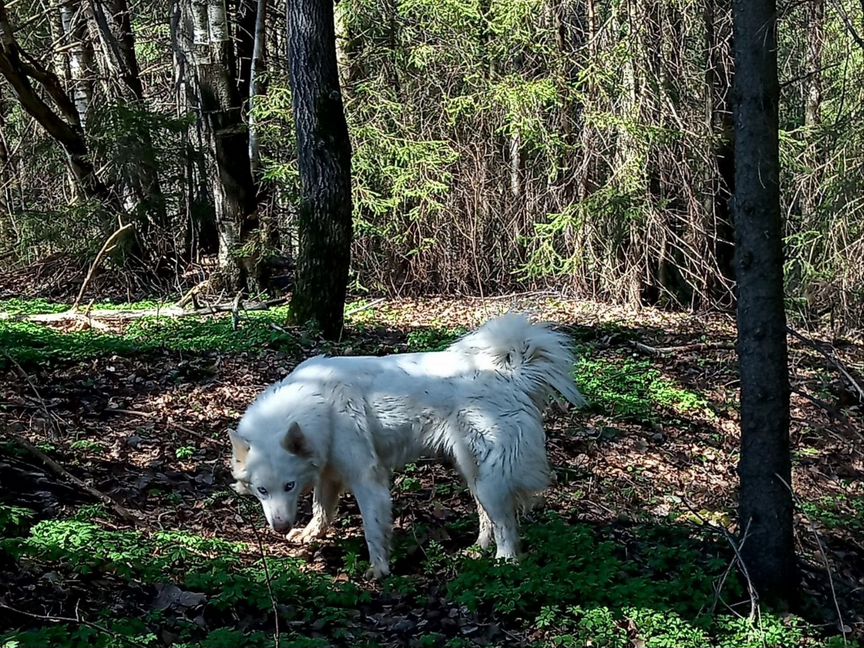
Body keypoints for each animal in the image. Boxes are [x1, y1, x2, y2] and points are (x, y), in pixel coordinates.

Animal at [226, 314, 584, 576]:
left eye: (289, 486)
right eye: (261, 491)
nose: (279, 527)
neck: (319, 401)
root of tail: (509, 374)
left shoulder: (366, 477)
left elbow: (372, 528)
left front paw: (378, 570)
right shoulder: (329, 472)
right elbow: (321, 508)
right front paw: (310, 534)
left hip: (491, 477)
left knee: (506, 525)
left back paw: (504, 564)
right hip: (474, 471)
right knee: (488, 516)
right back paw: (477, 549)